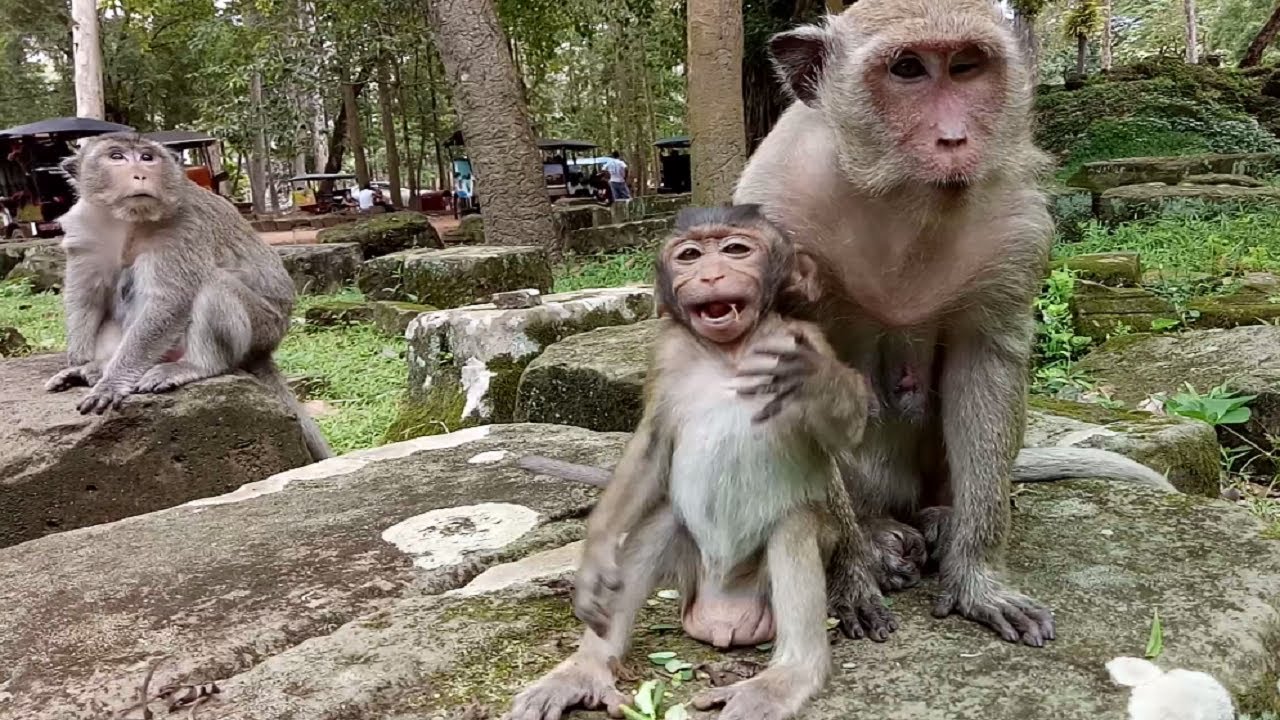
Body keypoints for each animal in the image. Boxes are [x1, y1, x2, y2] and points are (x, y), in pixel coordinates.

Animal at [44, 133, 333, 463]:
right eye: (116, 156)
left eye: (147, 157)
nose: (140, 174)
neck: (124, 221)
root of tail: (266, 350)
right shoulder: (85, 230)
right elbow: (85, 297)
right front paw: (80, 366)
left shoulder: (182, 225)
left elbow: (170, 302)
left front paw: (112, 382)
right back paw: (99, 366)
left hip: (266, 328)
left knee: (215, 285)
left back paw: (195, 365)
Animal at [506, 205, 879, 720]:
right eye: (690, 256)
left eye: (736, 250)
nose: (710, 275)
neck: (729, 353)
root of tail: (722, 619)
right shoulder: (667, 354)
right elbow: (652, 447)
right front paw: (595, 555)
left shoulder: (805, 337)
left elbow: (847, 433)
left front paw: (816, 379)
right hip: (691, 575)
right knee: (661, 518)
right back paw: (586, 668)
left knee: (796, 524)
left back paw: (785, 678)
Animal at [723, 0, 1177, 647]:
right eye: (908, 69)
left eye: (965, 66)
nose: (955, 138)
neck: (899, 204)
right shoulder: (774, 216)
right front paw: (848, 578)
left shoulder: (1017, 223)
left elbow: (985, 365)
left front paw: (979, 577)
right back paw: (878, 535)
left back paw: (941, 518)